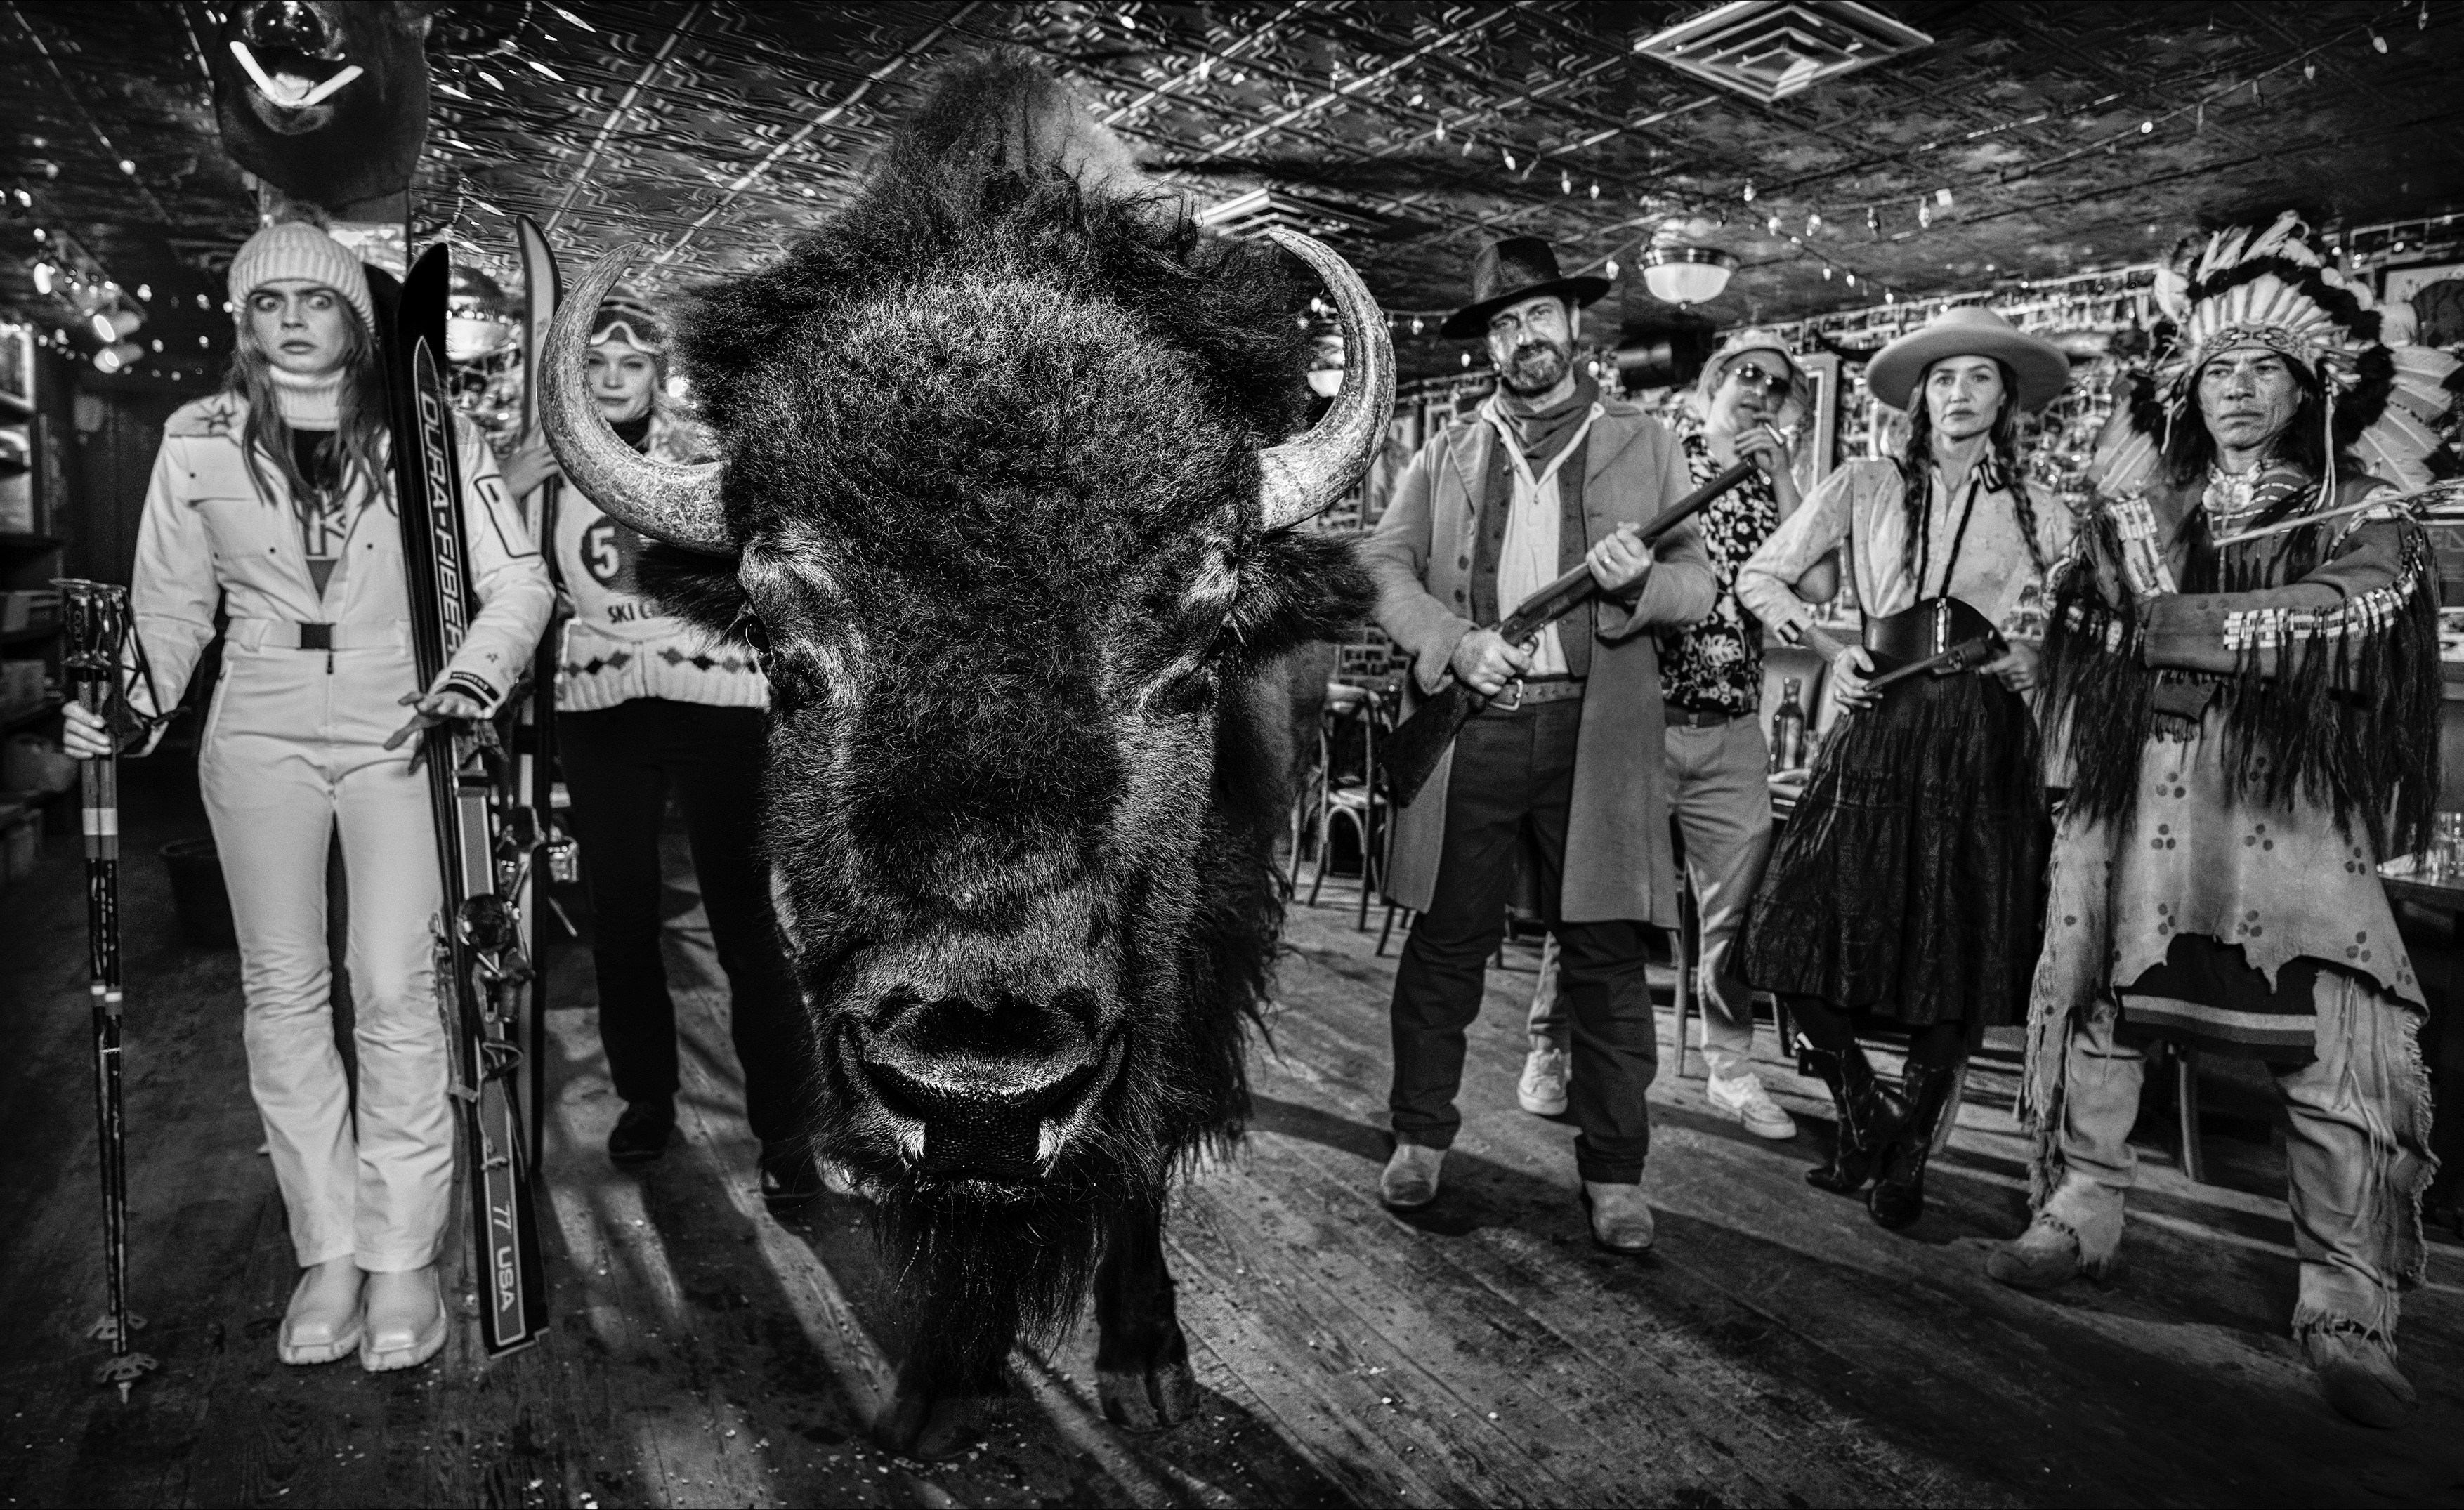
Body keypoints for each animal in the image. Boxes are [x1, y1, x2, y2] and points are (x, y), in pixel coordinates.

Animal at [540, 54, 1392, 1457]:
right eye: (780, 645)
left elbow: (1144, 1129)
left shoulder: (1189, 941)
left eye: (1201, 641)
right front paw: (942, 1373)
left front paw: (1146, 1362)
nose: (979, 1092)